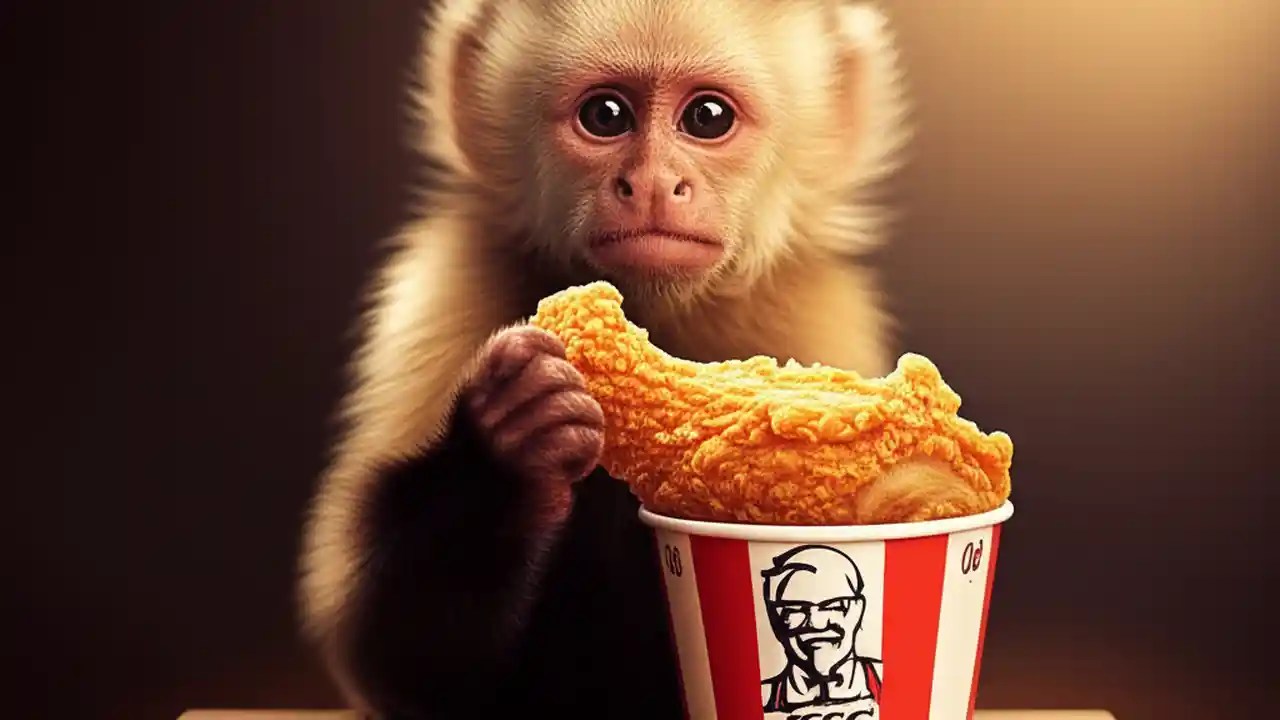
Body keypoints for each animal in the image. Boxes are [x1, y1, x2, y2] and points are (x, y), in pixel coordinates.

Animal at [296, 1, 972, 718]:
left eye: (707, 117)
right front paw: (509, 443)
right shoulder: (446, 296)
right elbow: (399, 660)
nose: (649, 183)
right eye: (605, 115)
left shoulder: (809, 321)